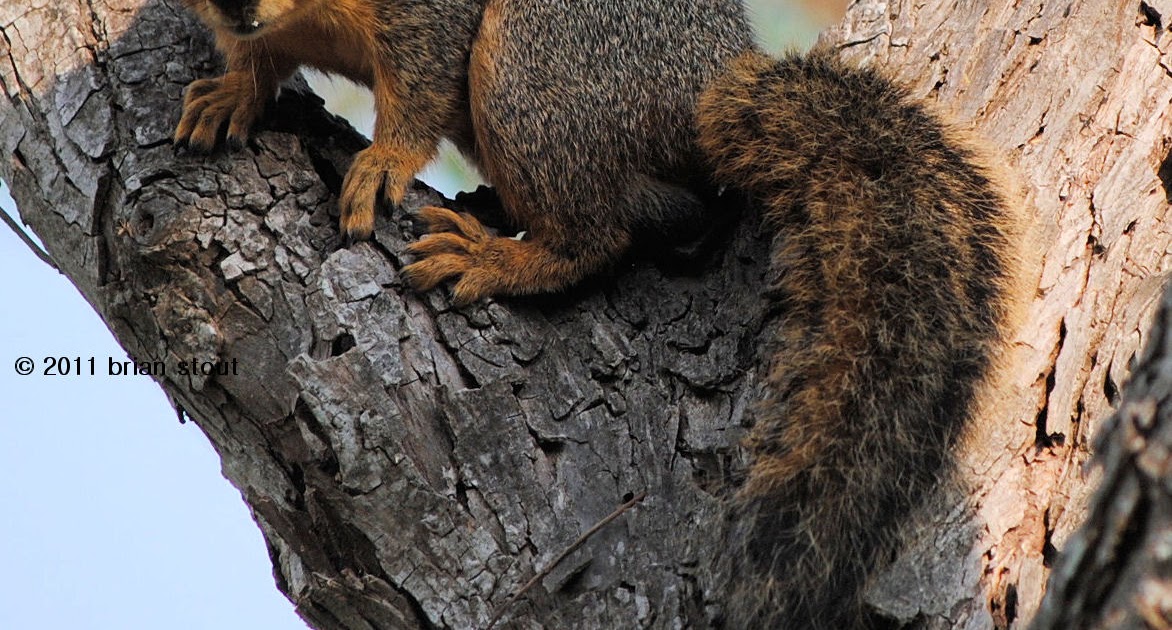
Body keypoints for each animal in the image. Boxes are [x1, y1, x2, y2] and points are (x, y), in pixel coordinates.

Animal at [175, 0, 1020, 628]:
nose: (239, 6)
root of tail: (708, 89)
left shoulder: (425, 19)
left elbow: (417, 86)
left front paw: (383, 161)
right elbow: (255, 58)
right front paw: (233, 90)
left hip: (540, 66)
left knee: (601, 231)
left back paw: (497, 256)